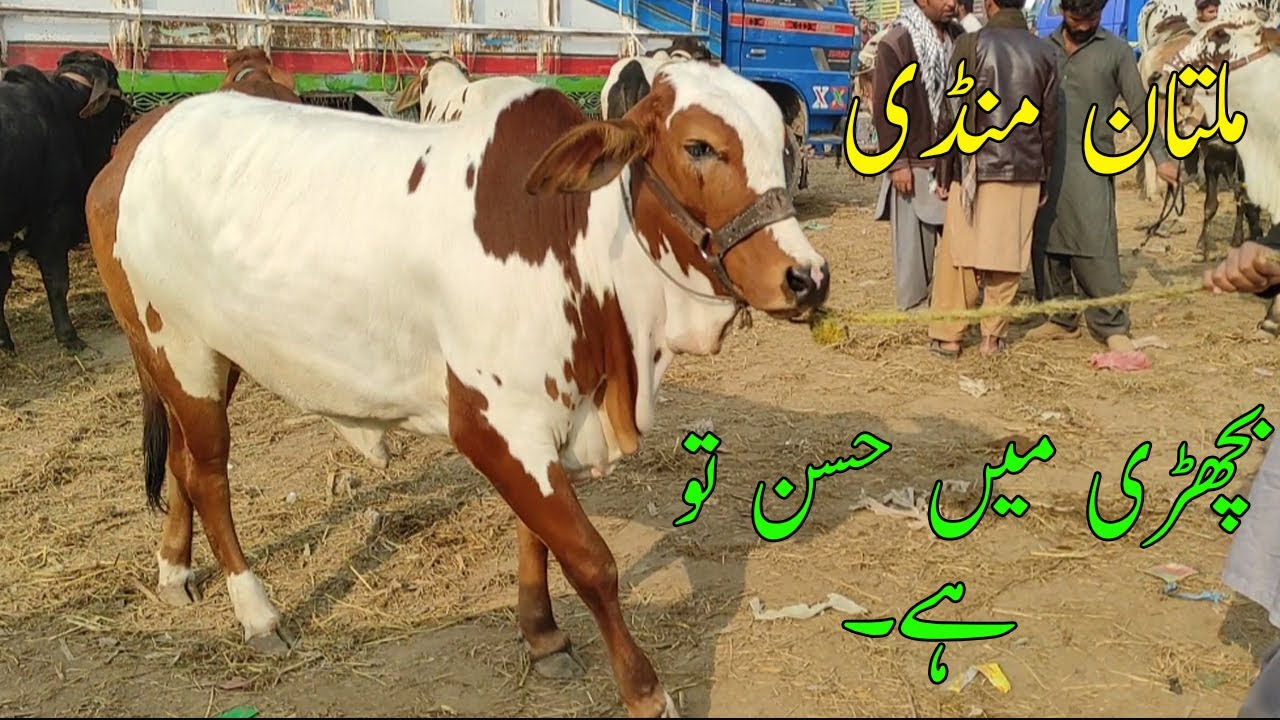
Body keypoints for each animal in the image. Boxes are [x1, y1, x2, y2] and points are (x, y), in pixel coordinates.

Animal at [85, 59, 830, 718]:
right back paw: (258, 613)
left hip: (204, 356)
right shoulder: (492, 422)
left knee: (180, 462)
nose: (807, 278)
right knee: (208, 473)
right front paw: (645, 692)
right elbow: (591, 560)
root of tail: (136, 139)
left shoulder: (545, 421)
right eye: (698, 146)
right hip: (180, 348)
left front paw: (543, 635)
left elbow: (538, 538)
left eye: (779, 139)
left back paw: (174, 569)